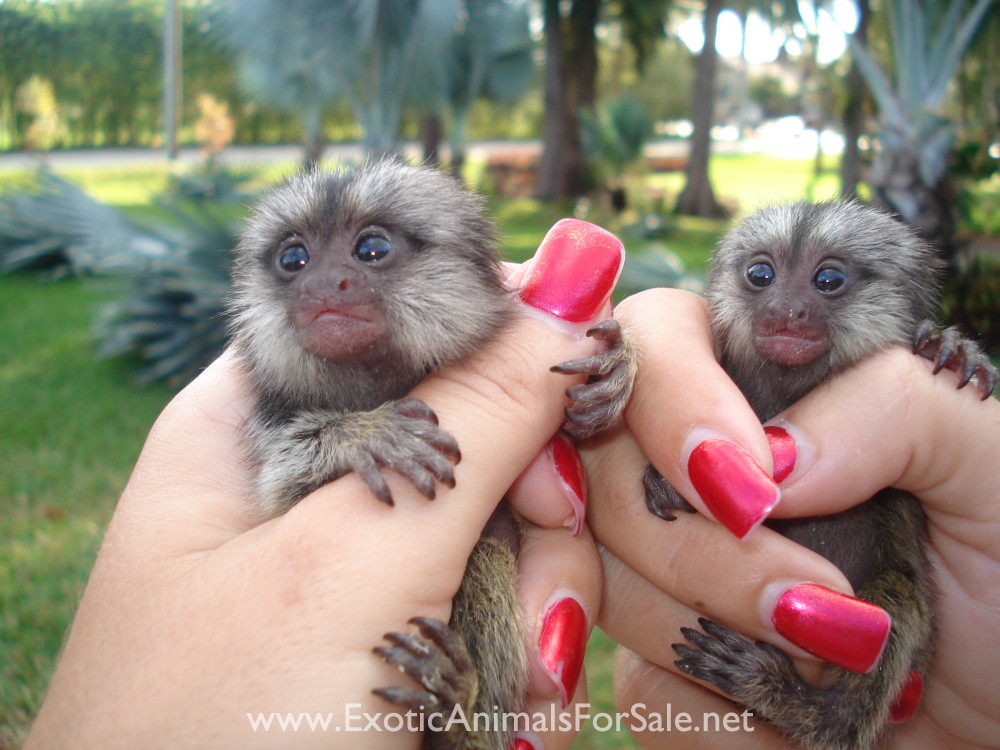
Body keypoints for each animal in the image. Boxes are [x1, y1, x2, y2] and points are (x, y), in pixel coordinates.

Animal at [226, 159, 632, 750]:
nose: (320, 284)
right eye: (293, 259)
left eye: (371, 249)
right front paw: (367, 435)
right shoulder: (272, 422)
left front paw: (616, 373)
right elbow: (282, 488)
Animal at [643, 201, 997, 750]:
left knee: (896, 604)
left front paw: (952, 351)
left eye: (828, 279)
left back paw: (793, 700)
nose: (787, 310)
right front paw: (663, 476)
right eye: (761, 275)